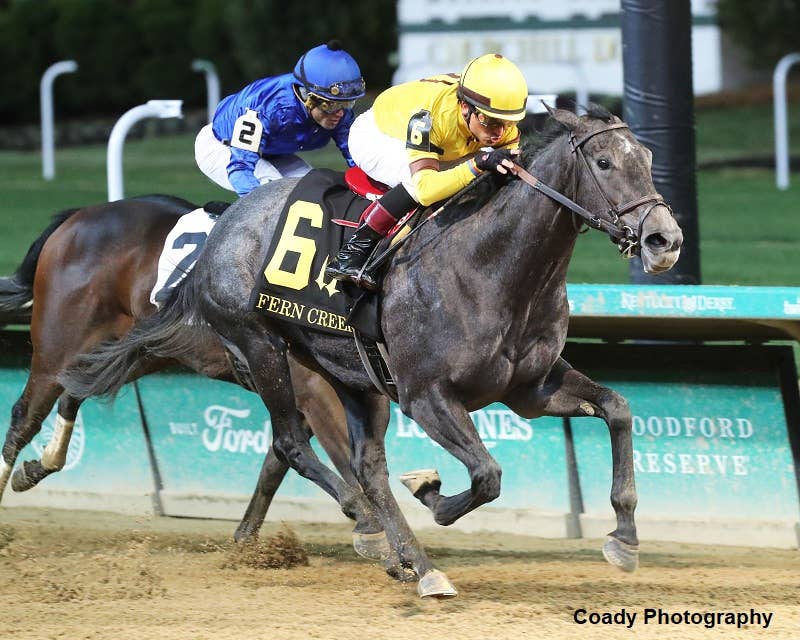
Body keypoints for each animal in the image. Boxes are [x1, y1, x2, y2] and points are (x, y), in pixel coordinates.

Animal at [0, 194, 388, 557]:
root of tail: (79, 215)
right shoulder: (315, 393)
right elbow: (345, 460)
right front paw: (380, 536)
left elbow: (275, 464)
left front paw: (246, 536)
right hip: (57, 345)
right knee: (25, 416)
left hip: (143, 349)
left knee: (73, 392)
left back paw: (38, 466)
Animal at [60, 106, 683, 597]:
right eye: (603, 163)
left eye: (648, 158)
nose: (665, 240)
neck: (493, 266)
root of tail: (219, 229)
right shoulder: (426, 396)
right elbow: (487, 475)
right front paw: (431, 492)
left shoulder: (531, 388)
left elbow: (618, 409)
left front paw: (625, 536)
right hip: (262, 347)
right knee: (292, 443)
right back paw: (389, 543)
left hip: (350, 374)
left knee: (365, 464)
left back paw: (410, 559)